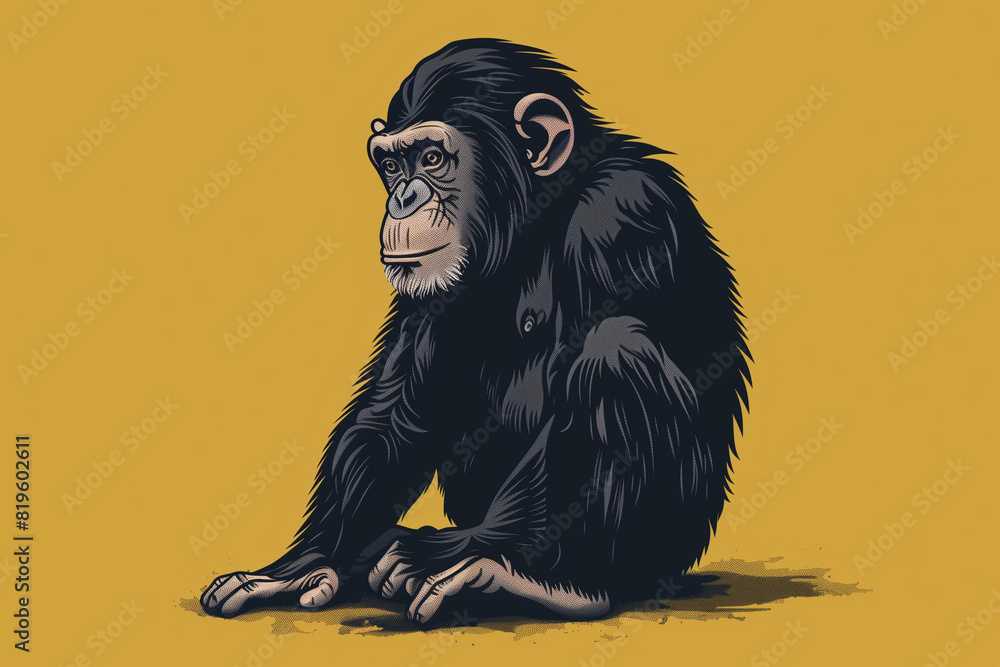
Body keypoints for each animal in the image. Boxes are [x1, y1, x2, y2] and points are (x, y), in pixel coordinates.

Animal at [201, 38, 751, 626]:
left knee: (615, 350)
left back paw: (553, 582)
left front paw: (440, 554)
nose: (402, 199)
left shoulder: (622, 214)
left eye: (432, 159)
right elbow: (398, 408)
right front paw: (306, 563)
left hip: (665, 545)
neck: (536, 219)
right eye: (391, 164)